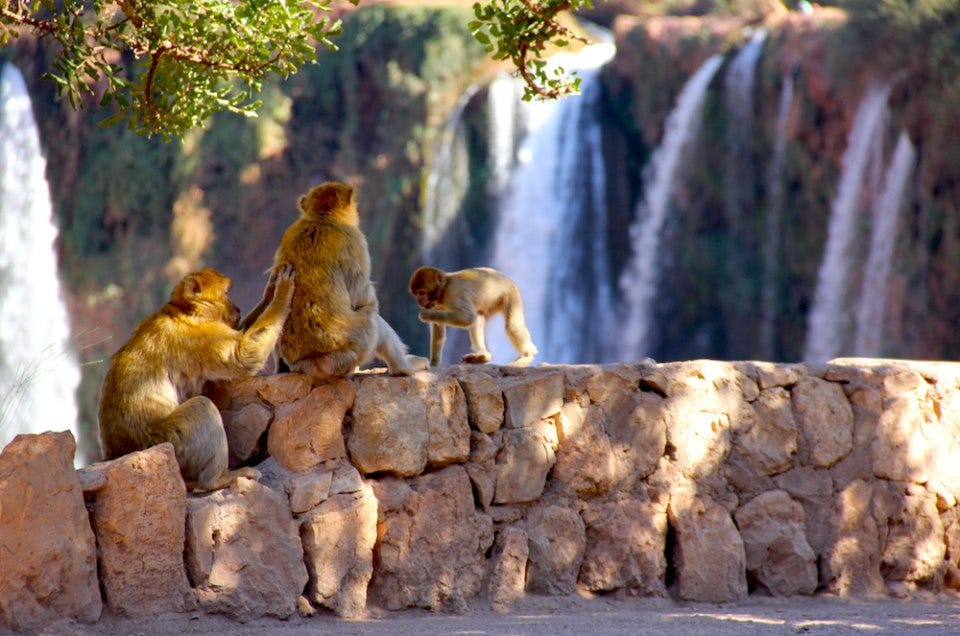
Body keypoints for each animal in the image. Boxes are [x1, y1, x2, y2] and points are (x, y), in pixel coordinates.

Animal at [98, 266, 295, 492]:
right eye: (226, 293)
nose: (237, 309)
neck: (186, 311)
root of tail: (120, 451)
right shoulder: (199, 336)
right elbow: (243, 356)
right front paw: (282, 294)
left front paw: (269, 293)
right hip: (168, 443)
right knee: (202, 407)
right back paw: (217, 480)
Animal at [242, 181, 427, 379]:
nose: (358, 209)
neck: (321, 218)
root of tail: (315, 362)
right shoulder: (355, 239)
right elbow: (361, 297)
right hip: (354, 345)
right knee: (373, 319)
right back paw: (403, 366)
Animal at [408, 266, 538, 368]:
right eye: (416, 294)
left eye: (422, 293)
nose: (419, 302)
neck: (443, 290)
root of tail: (505, 277)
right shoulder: (435, 305)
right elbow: (438, 327)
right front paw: (434, 364)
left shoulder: (454, 292)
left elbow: (467, 317)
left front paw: (425, 315)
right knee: (478, 320)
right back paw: (484, 355)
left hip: (510, 293)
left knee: (512, 326)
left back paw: (527, 356)